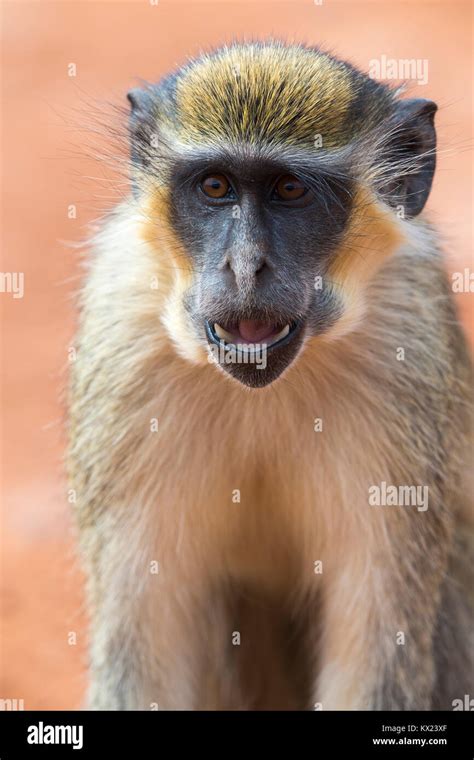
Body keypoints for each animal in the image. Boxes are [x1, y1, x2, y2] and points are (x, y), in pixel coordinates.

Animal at [68, 41, 473, 711]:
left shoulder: (407, 341)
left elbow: (377, 658)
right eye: (215, 186)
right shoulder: (121, 329)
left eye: (290, 189)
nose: (244, 266)